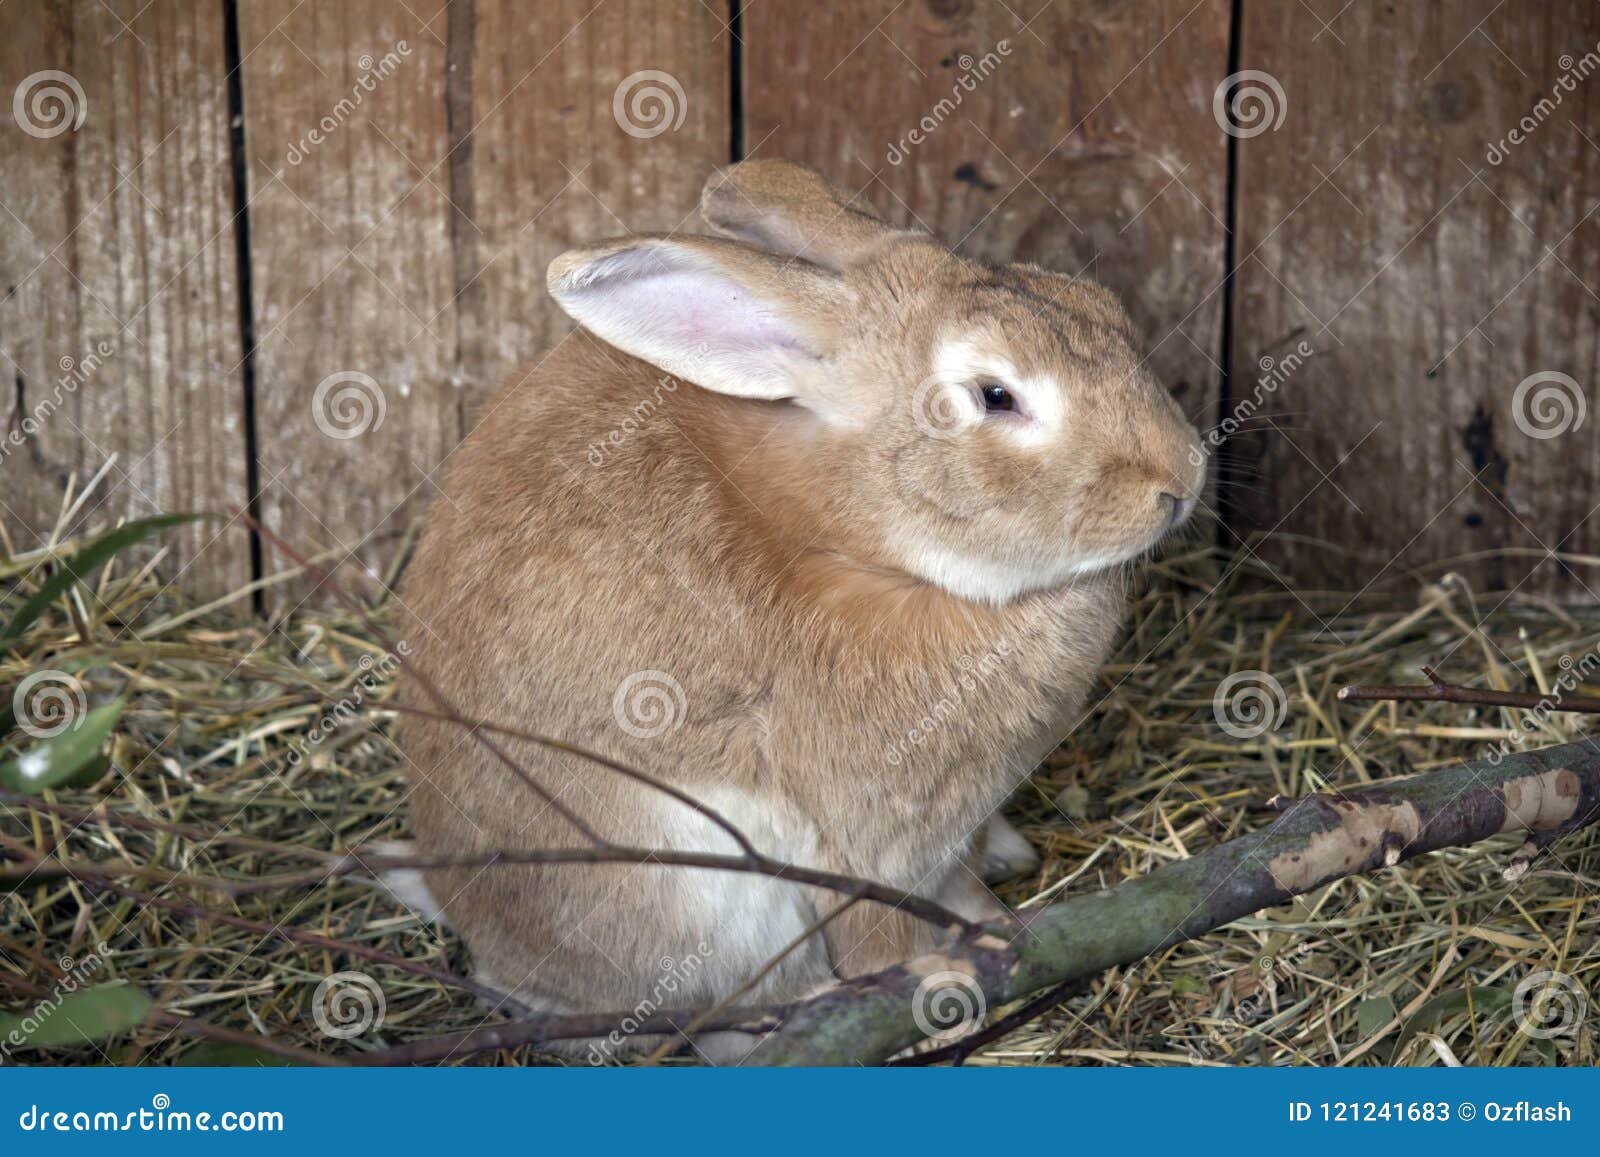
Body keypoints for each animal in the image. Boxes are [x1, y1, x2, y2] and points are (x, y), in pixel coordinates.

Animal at [391, 160, 1205, 1063]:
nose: (1183, 477)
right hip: (699, 887)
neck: (861, 545)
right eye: (995, 395)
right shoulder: (867, 840)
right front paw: (938, 990)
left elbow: (957, 882)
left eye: (1096, 302)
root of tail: (472, 920)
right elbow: (882, 933)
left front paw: (993, 918)